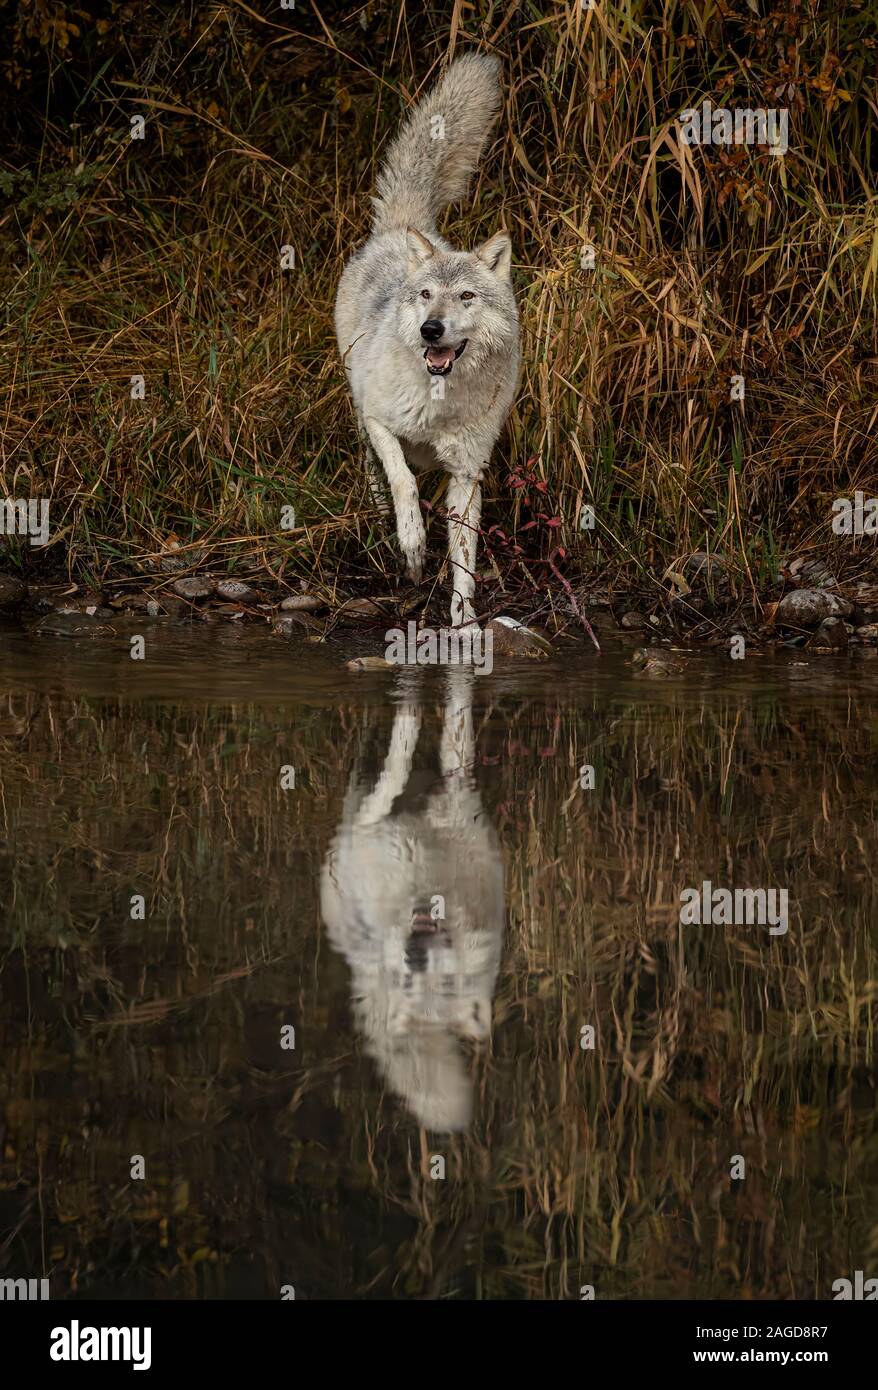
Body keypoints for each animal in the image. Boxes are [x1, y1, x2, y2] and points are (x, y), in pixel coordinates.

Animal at [320, 672, 505, 1132]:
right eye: (407, 981)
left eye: (447, 984)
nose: (413, 954)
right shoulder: (370, 831)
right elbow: (395, 764)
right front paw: (409, 710)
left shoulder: (459, 793)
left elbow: (457, 731)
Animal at [335, 54, 520, 629]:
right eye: (424, 295)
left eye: (465, 296)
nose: (430, 329)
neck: (438, 402)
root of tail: (405, 226)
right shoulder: (380, 420)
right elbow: (403, 482)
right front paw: (412, 544)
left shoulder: (467, 472)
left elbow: (465, 556)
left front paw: (463, 623)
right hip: (355, 402)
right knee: (374, 467)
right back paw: (380, 515)